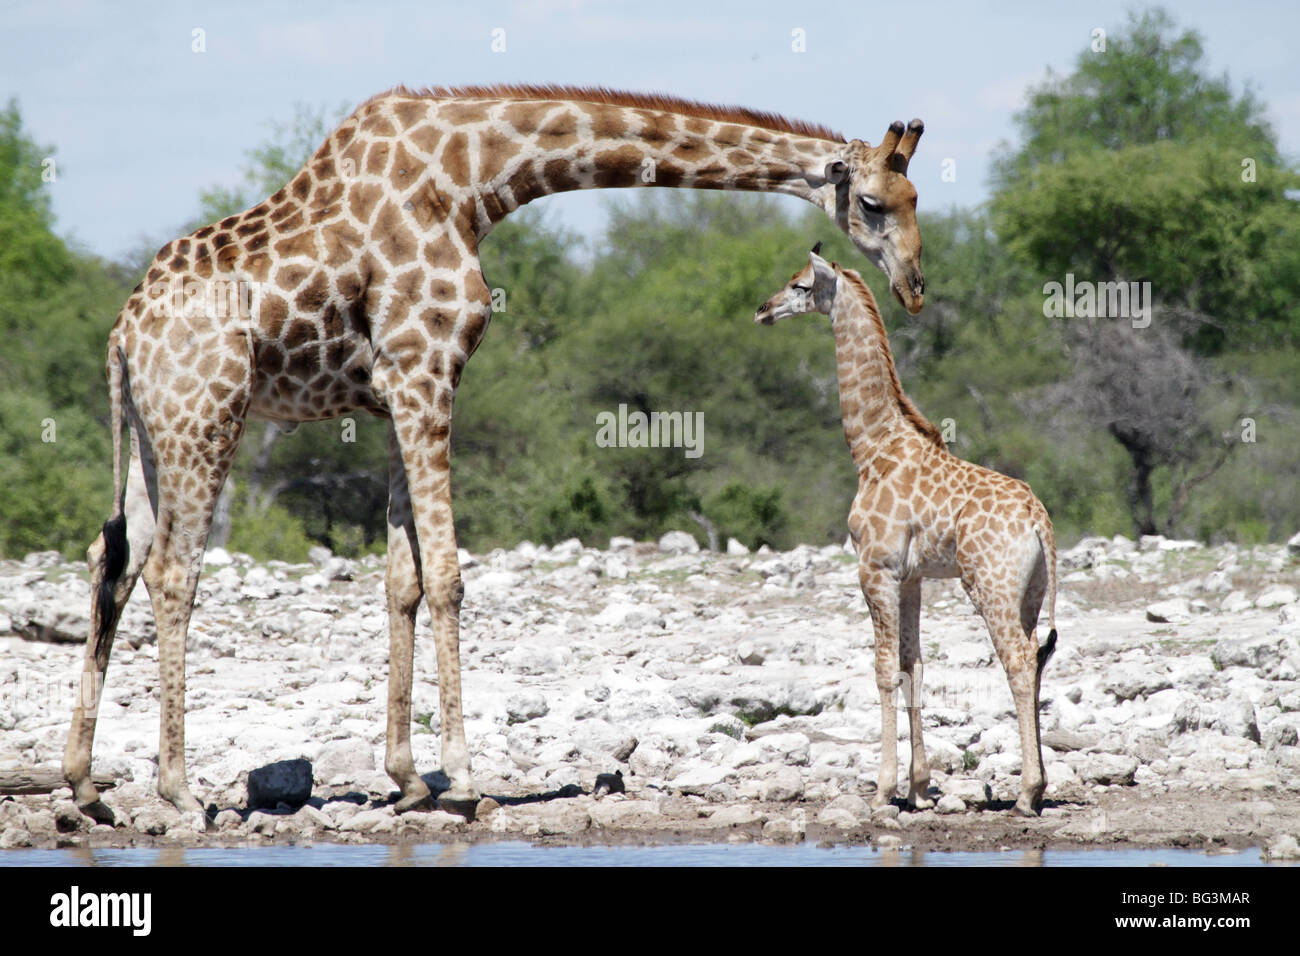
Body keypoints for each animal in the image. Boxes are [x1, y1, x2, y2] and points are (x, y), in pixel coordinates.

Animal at [63, 85, 929, 824]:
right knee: (174, 571)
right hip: (206, 414)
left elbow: (403, 581)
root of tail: (121, 333)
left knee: (115, 558)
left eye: (919, 199)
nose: (916, 286)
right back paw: (179, 790)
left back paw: (85, 786)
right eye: (875, 202)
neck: (474, 181)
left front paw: (409, 779)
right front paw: (463, 777)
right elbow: (447, 577)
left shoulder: (394, 391)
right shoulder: (424, 370)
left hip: (151, 431)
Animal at [755, 246, 1058, 816]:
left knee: (1018, 659)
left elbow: (881, 670)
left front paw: (882, 788)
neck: (871, 445)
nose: (763, 309)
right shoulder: (911, 577)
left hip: (989, 585)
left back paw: (1028, 792)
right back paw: (1038, 785)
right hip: (1030, 591)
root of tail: (1039, 519)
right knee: (1038, 656)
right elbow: (913, 666)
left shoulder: (874, 569)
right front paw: (919, 787)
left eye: (800, 284)